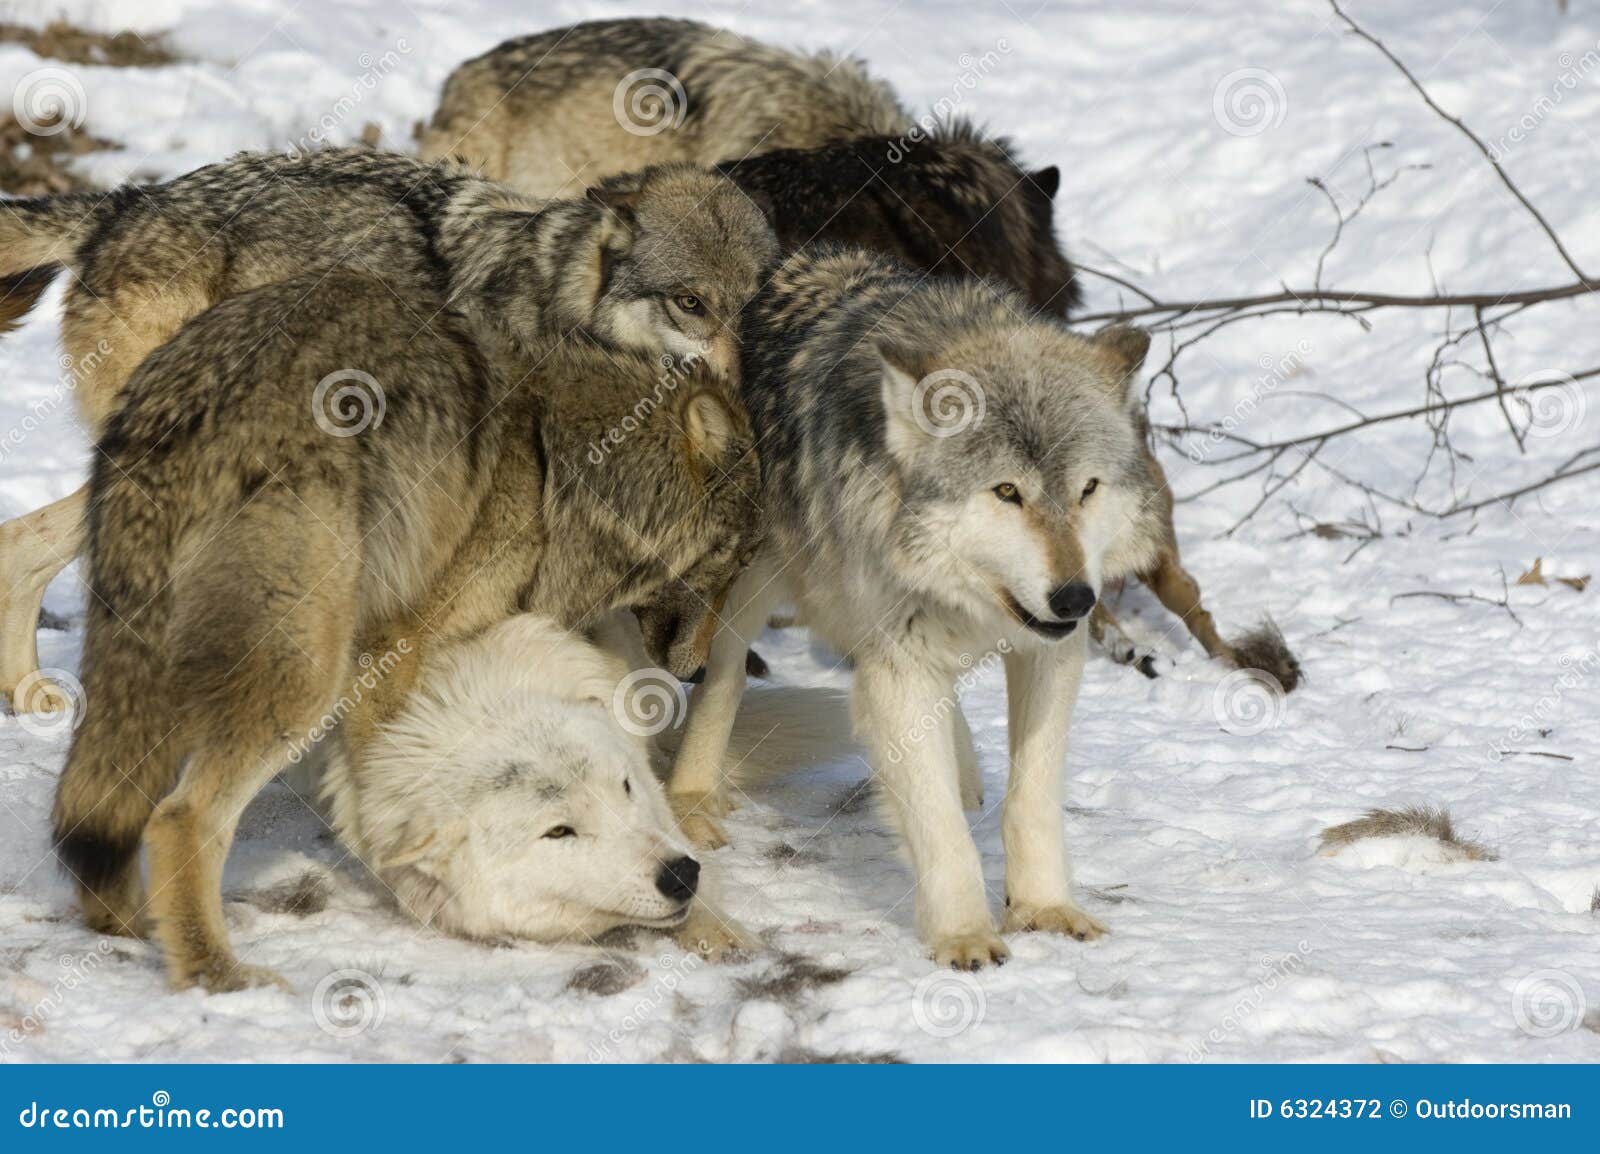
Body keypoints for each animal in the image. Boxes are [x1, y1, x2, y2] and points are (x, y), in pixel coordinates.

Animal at [49, 269, 762, 992]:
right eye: (735, 563)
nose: (698, 671)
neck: (557, 466)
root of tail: (188, 402)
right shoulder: (396, 648)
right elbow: (389, 778)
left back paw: (124, 923)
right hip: (307, 677)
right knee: (180, 817)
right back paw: (216, 973)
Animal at [664, 247, 1164, 969]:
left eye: (1087, 489)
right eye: (1006, 491)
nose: (1077, 597)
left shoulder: (1048, 652)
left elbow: (1031, 800)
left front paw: (1043, 909)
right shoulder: (898, 662)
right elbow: (939, 825)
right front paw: (963, 936)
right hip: (753, 580)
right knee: (723, 676)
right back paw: (694, 799)